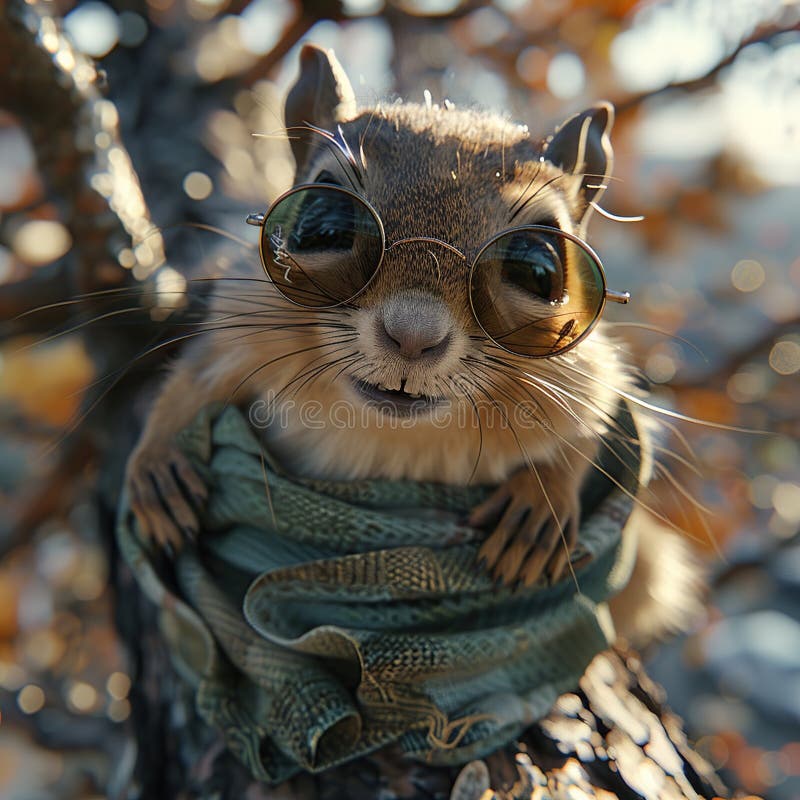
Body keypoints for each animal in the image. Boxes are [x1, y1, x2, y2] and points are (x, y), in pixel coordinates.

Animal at [124, 45, 702, 642]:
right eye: (324, 223)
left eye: (538, 269)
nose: (413, 336)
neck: (394, 438)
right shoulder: (238, 333)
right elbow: (188, 385)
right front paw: (157, 467)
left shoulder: (582, 382)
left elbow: (587, 433)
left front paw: (538, 504)